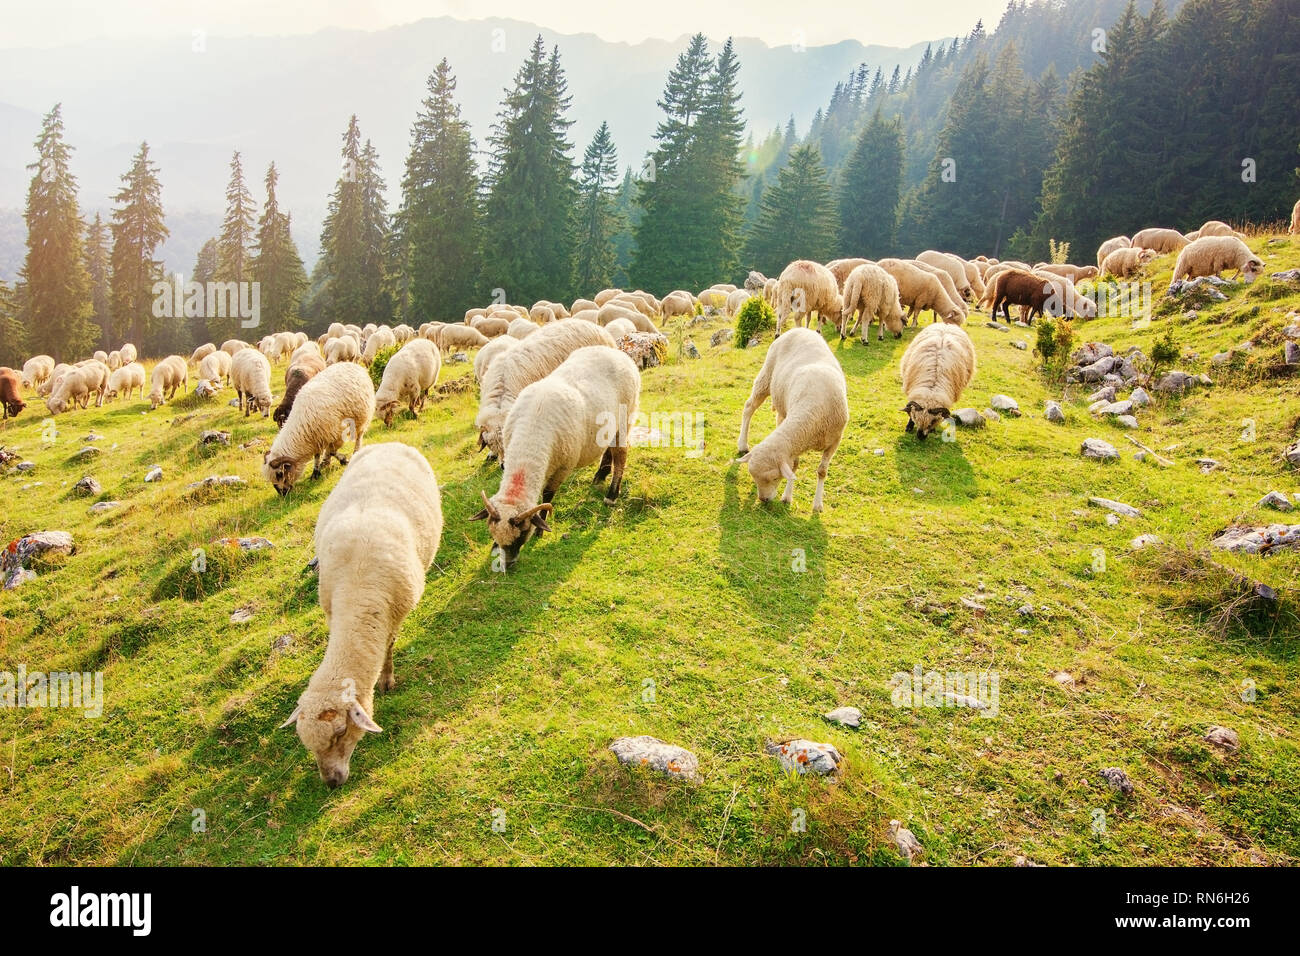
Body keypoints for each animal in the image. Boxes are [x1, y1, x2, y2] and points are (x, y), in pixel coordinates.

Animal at [262, 362, 373, 494]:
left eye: (279, 474)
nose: (283, 494)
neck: (300, 426)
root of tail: (352, 364)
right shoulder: (316, 438)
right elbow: (318, 455)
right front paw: (316, 472)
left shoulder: (335, 432)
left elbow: (332, 451)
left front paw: (343, 460)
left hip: (362, 416)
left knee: (359, 436)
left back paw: (355, 451)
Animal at [280, 442, 443, 787]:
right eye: (306, 743)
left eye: (342, 732)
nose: (331, 783)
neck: (356, 598)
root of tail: (392, 442)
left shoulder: (394, 615)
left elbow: (389, 648)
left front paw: (387, 680)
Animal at [472, 346, 640, 565]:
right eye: (493, 533)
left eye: (523, 533)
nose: (508, 563)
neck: (529, 442)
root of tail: (618, 352)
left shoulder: (563, 467)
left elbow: (548, 494)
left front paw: (540, 529)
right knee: (609, 449)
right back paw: (600, 475)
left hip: (625, 418)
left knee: (620, 454)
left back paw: (611, 494)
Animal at [736, 327, 848, 512]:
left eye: (775, 478)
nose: (763, 499)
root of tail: (800, 328)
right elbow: (794, 467)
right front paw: (787, 497)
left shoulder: (834, 441)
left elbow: (822, 471)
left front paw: (817, 505)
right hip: (766, 376)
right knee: (749, 407)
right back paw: (742, 444)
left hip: (780, 401)